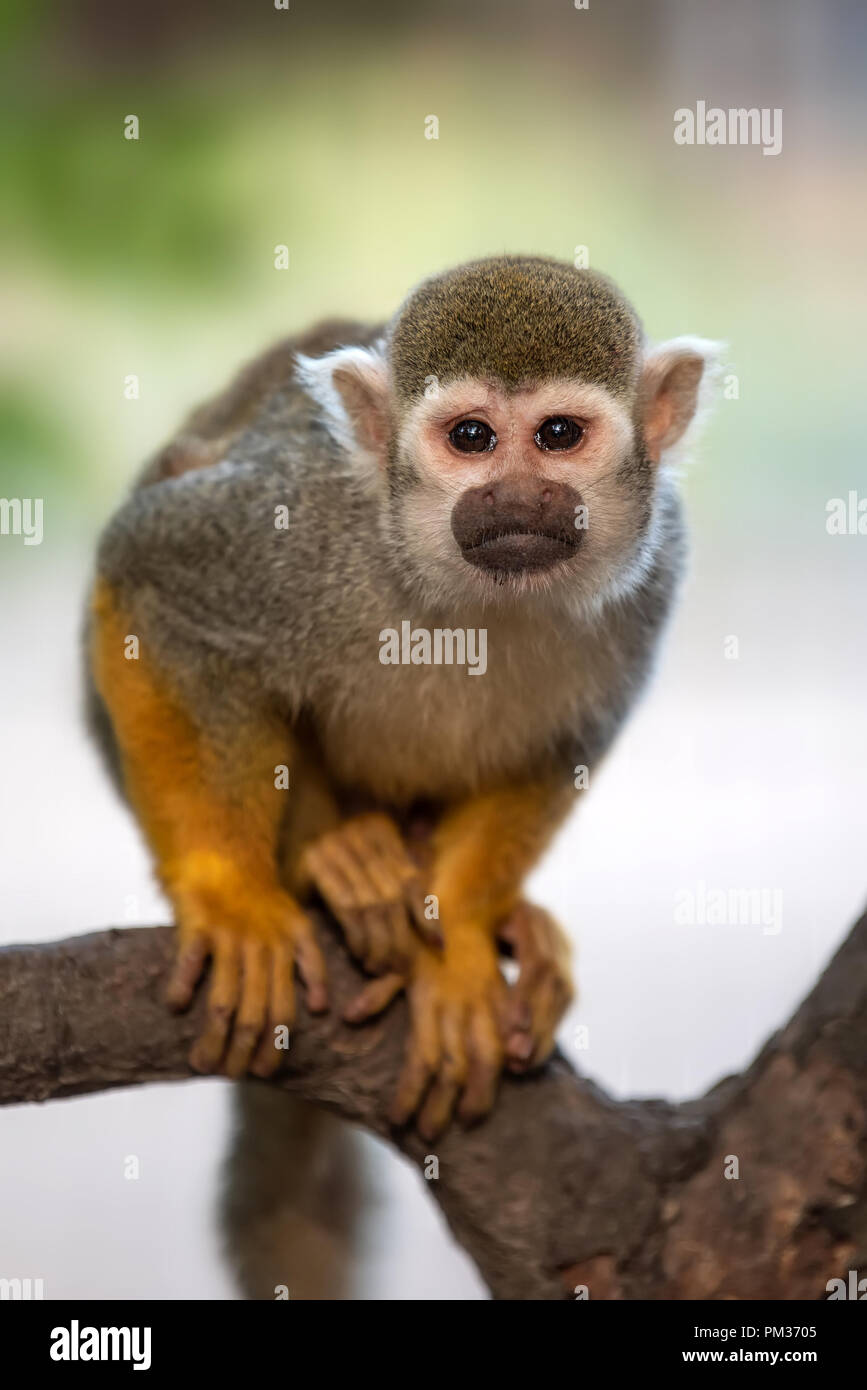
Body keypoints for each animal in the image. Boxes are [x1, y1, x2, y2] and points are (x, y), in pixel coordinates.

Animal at [84, 254, 720, 1297]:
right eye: (470, 439)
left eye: (558, 436)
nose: (514, 500)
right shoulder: (296, 528)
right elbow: (150, 576)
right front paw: (230, 896)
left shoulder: (656, 568)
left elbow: (571, 736)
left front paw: (455, 936)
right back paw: (337, 863)